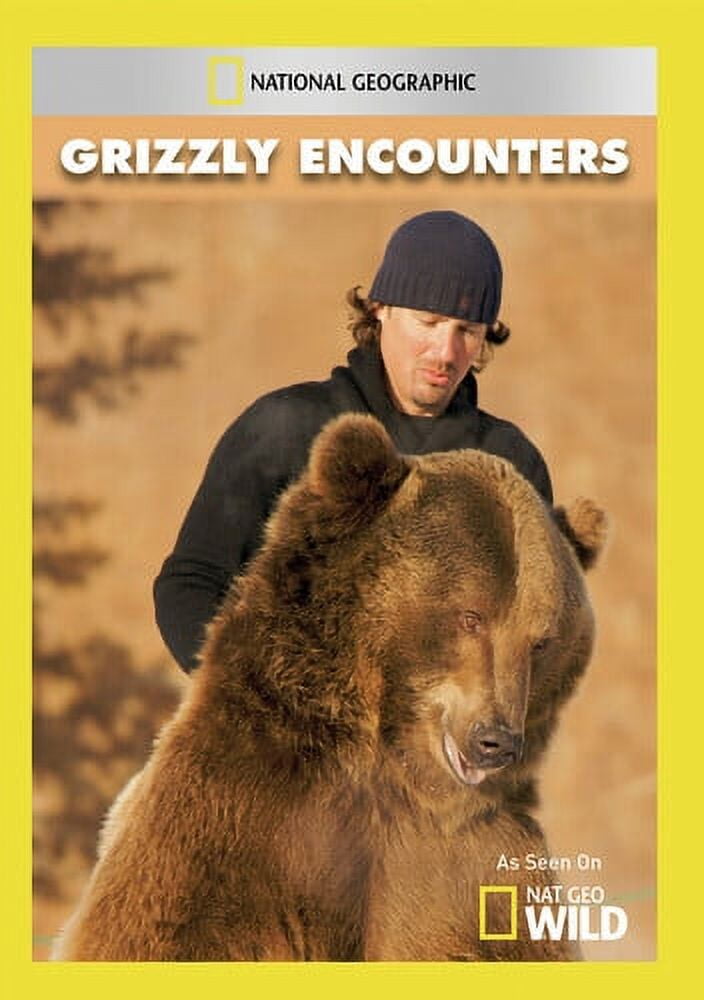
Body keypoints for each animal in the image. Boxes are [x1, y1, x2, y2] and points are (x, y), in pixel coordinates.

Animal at [52, 413, 606, 962]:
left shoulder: (472, 873)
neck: (390, 772)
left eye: (541, 639)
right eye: (470, 616)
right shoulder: (240, 831)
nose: (495, 741)